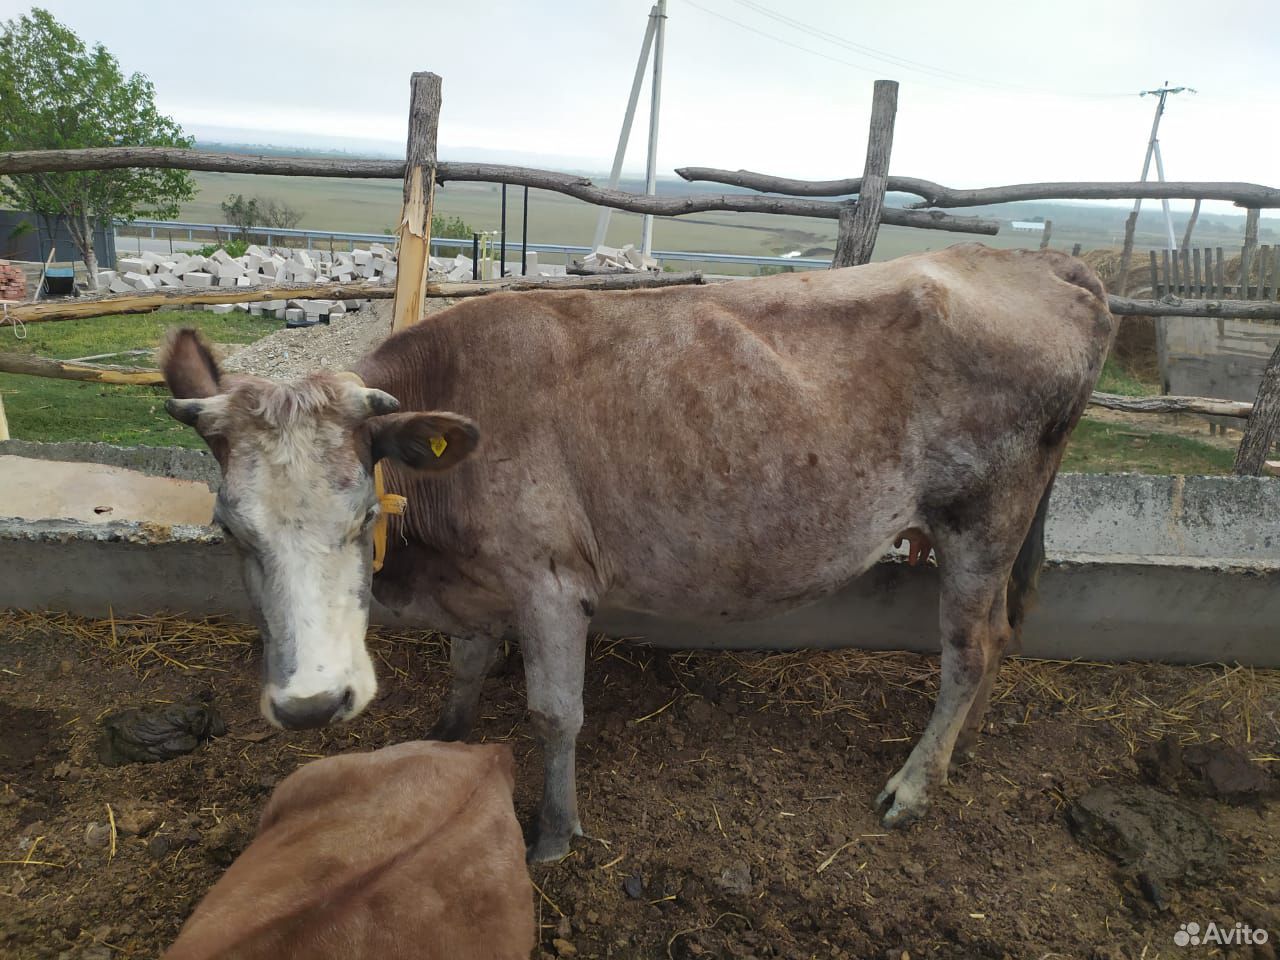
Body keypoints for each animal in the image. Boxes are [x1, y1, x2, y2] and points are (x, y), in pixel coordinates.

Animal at [161, 243, 1116, 862]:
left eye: (364, 513)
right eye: (230, 528)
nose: (313, 703)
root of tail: (1041, 264)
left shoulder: (552, 581)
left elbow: (555, 714)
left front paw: (553, 836)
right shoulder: (480, 586)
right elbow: (466, 666)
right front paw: (443, 741)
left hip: (980, 521)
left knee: (972, 646)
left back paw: (914, 785)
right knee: (997, 641)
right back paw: (955, 754)